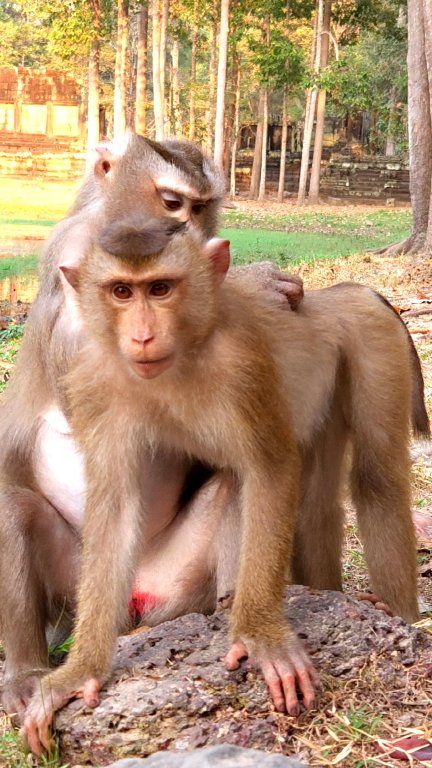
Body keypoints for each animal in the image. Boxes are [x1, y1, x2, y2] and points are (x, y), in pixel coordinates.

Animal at [0, 132, 305, 724]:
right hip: (82, 584)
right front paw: (250, 283)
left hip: (171, 584)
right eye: (170, 203)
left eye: (199, 208)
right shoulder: (76, 258)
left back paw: (233, 617)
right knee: (13, 511)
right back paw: (26, 673)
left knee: (236, 481)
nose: (188, 235)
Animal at [20, 225, 423, 753]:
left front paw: (259, 634)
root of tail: (341, 291)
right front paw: (79, 670)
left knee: (375, 481)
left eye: (161, 288)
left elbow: (271, 468)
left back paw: (401, 617)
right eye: (121, 291)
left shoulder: (241, 367)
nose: (142, 335)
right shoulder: (94, 382)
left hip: (373, 336)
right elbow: (116, 508)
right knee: (316, 502)